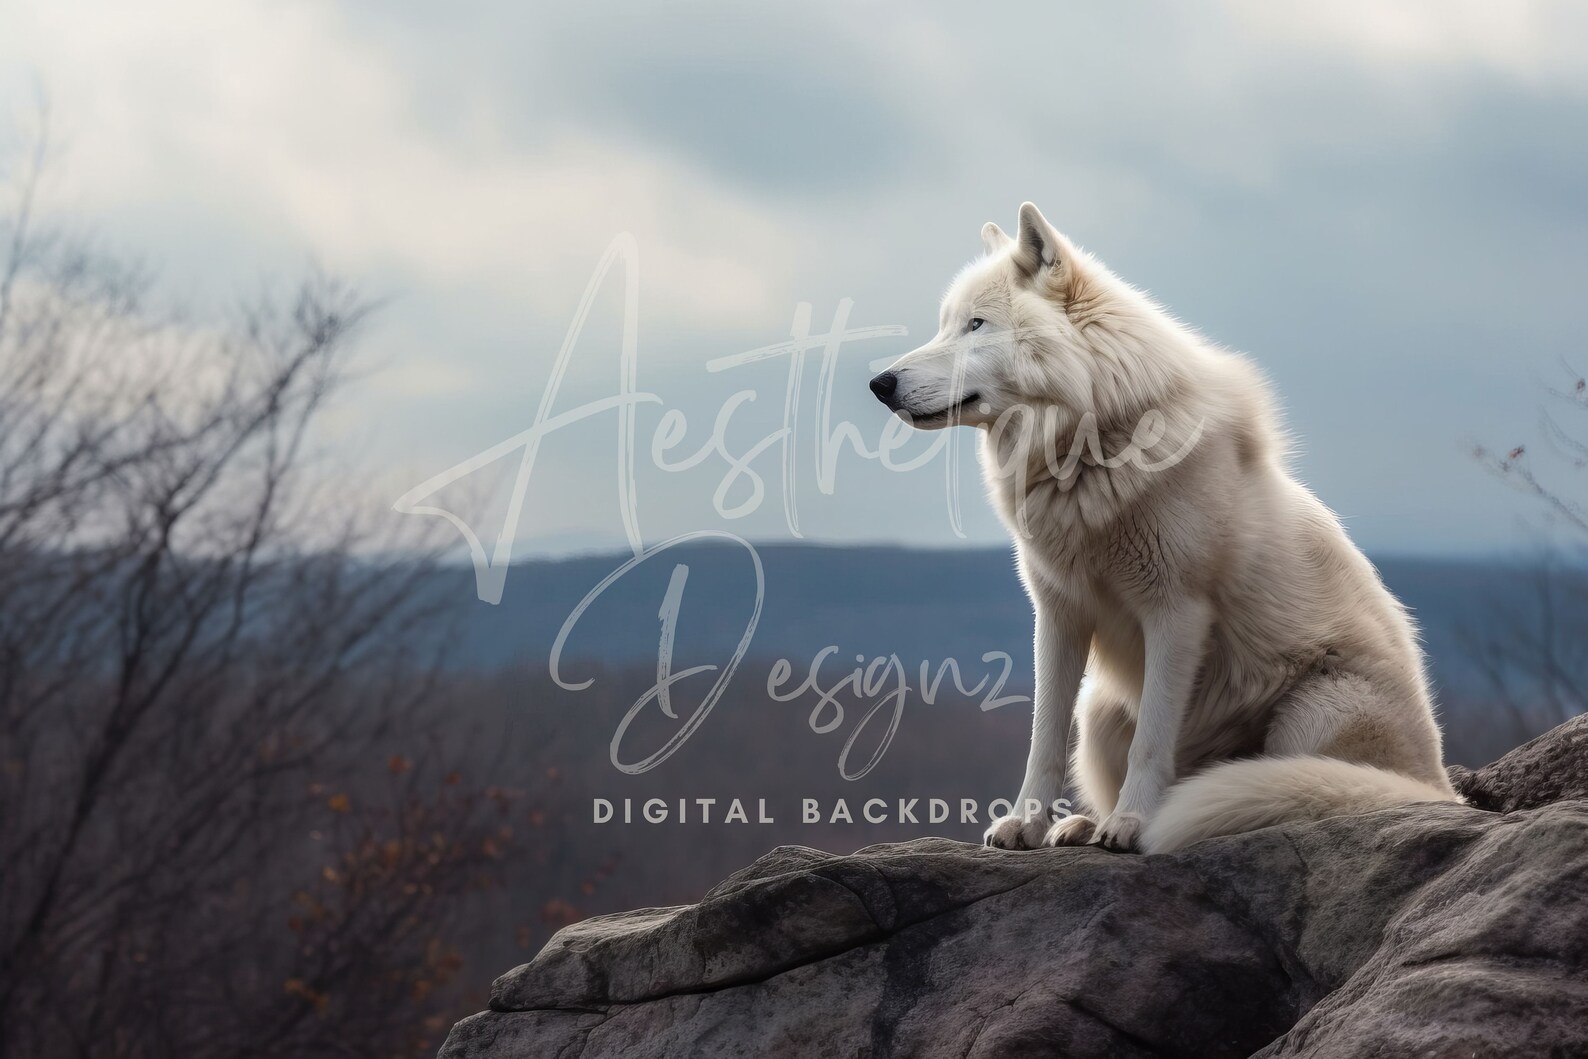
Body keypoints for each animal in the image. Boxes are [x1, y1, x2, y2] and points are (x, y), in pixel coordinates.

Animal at [869, 202, 1461, 854]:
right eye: (945, 326)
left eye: (976, 325)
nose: (880, 384)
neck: (1090, 448)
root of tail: (1440, 787)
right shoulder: (1057, 614)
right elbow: (1042, 739)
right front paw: (1026, 824)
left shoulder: (1177, 612)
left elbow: (1152, 742)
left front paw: (1131, 825)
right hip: (1100, 712)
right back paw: (1080, 825)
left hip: (1315, 714)